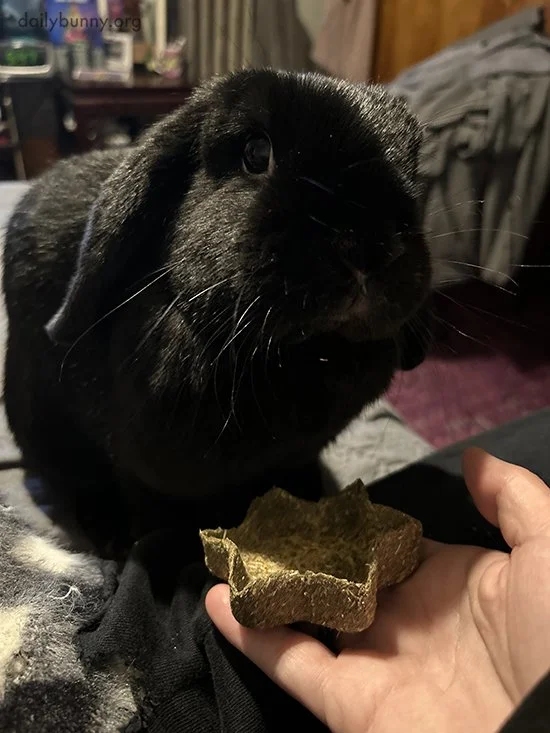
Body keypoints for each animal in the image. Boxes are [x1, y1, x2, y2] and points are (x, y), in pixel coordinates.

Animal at [3, 69, 431, 554]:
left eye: (413, 167)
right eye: (256, 154)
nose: (369, 248)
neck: (301, 358)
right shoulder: (137, 470)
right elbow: (146, 507)